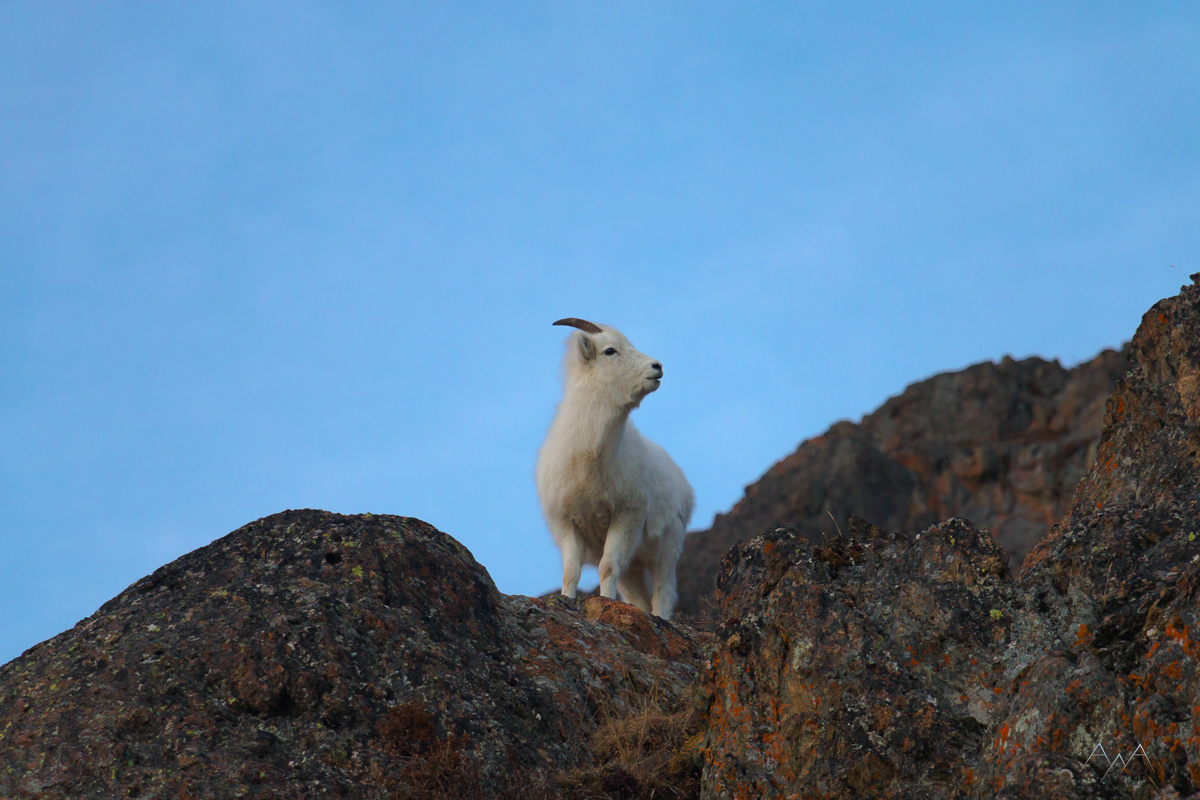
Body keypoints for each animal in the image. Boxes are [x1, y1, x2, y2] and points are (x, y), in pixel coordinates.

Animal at [536, 317, 695, 620]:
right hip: (634, 569)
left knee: (663, 593)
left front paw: (605, 603)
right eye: (610, 351)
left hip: (667, 550)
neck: (587, 462)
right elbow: (570, 573)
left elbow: (607, 567)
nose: (657, 367)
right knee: (640, 598)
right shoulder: (566, 523)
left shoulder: (625, 517)